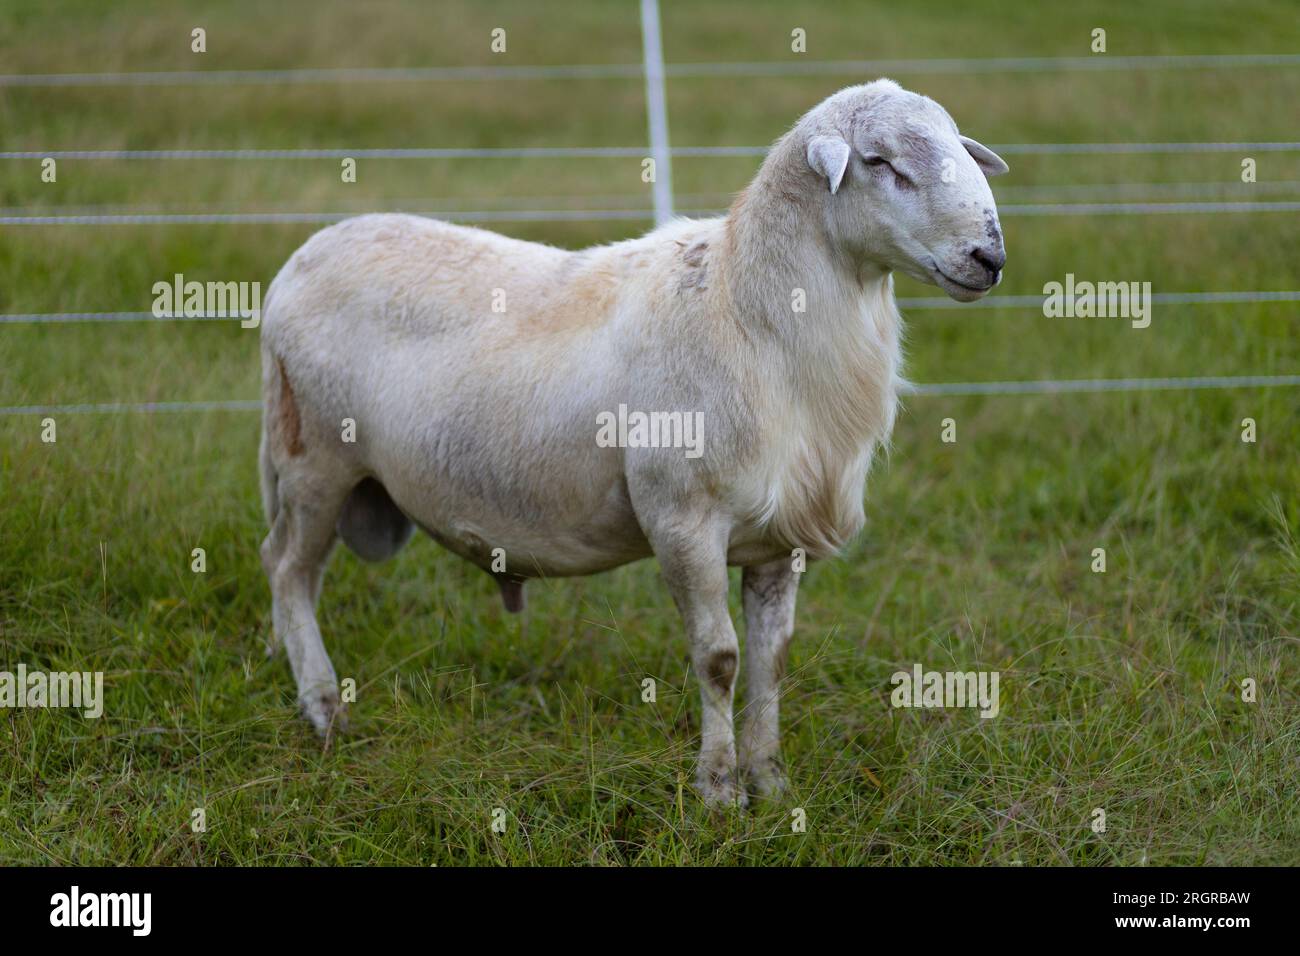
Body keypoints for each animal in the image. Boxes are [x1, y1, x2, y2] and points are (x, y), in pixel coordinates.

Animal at [258, 78, 1007, 806]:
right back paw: (322, 706)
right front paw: (717, 791)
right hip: (313, 459)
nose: (990, 258)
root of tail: (302, 257)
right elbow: (720, 659)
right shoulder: (681, 519)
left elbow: (772, 662)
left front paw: (770, 782)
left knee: (294, 569)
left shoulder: (779, 542)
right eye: (880, 162)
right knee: (289, 568)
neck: (746, 311)